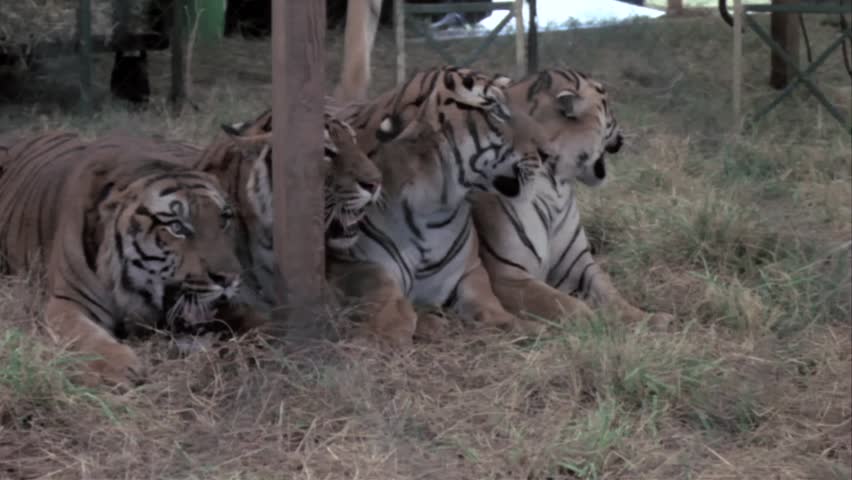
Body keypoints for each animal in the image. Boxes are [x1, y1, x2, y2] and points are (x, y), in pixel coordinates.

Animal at [0, 131, 249, 386]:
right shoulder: (67, 301)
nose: (229, 278)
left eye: (224, 219)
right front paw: (117, 368)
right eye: (177, 227)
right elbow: (86, 335)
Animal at [328, 66, 548, 346]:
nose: (548, 153)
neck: (432, 204)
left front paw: (524, 326)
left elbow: (487, 300)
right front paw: (392, 328)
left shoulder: (469, 270)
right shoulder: (344, 261)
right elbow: (379, 281)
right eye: (496, 110)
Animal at [469, 68, 674, 327]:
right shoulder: (506, 275)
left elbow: (611, 293)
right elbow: (564, 304)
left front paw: (650, 318)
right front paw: (599, 325)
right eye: (606, 102)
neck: (557, 184)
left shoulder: (578, 264)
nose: (622, 132)